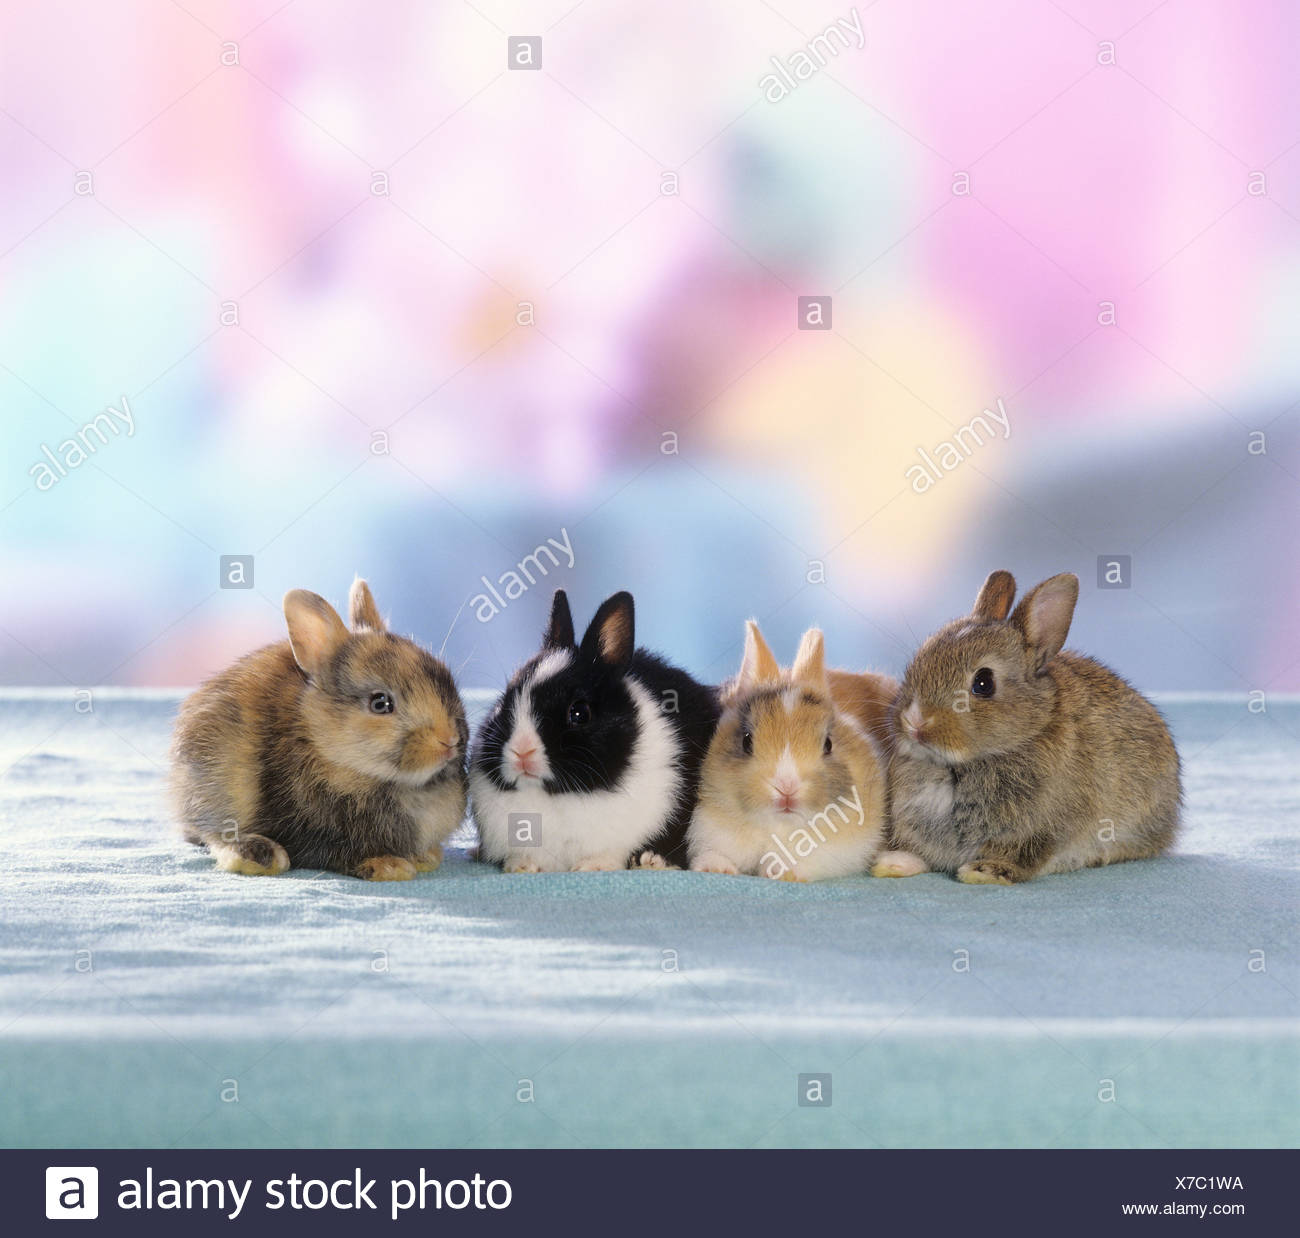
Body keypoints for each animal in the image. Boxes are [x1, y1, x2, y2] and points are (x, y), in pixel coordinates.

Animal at [171, 579, 469, 880]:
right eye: (380, 703)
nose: (449, 740)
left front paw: (426, 857)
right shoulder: (317, 833)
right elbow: (340, 854)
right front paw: (390, 866)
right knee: (213, 834)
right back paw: (259, 856)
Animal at [469, 589, 721, 872]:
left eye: (579, 713)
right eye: (504, 702)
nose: (522, 752)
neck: (561, 793)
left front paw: (593, 867)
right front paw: (521, 867)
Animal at [688, 621, 893, 881]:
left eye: (828, 744)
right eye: (746, 741)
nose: (787, 787)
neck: (779, 826)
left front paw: (778, 870)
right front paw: (715, 867)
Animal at [873, 570, 1181, 885]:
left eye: (983, 683)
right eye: (919, 660)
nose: (914, 721)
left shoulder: (1040, 829)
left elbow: (1025, 853)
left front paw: (984, 872)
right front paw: (893, 863)